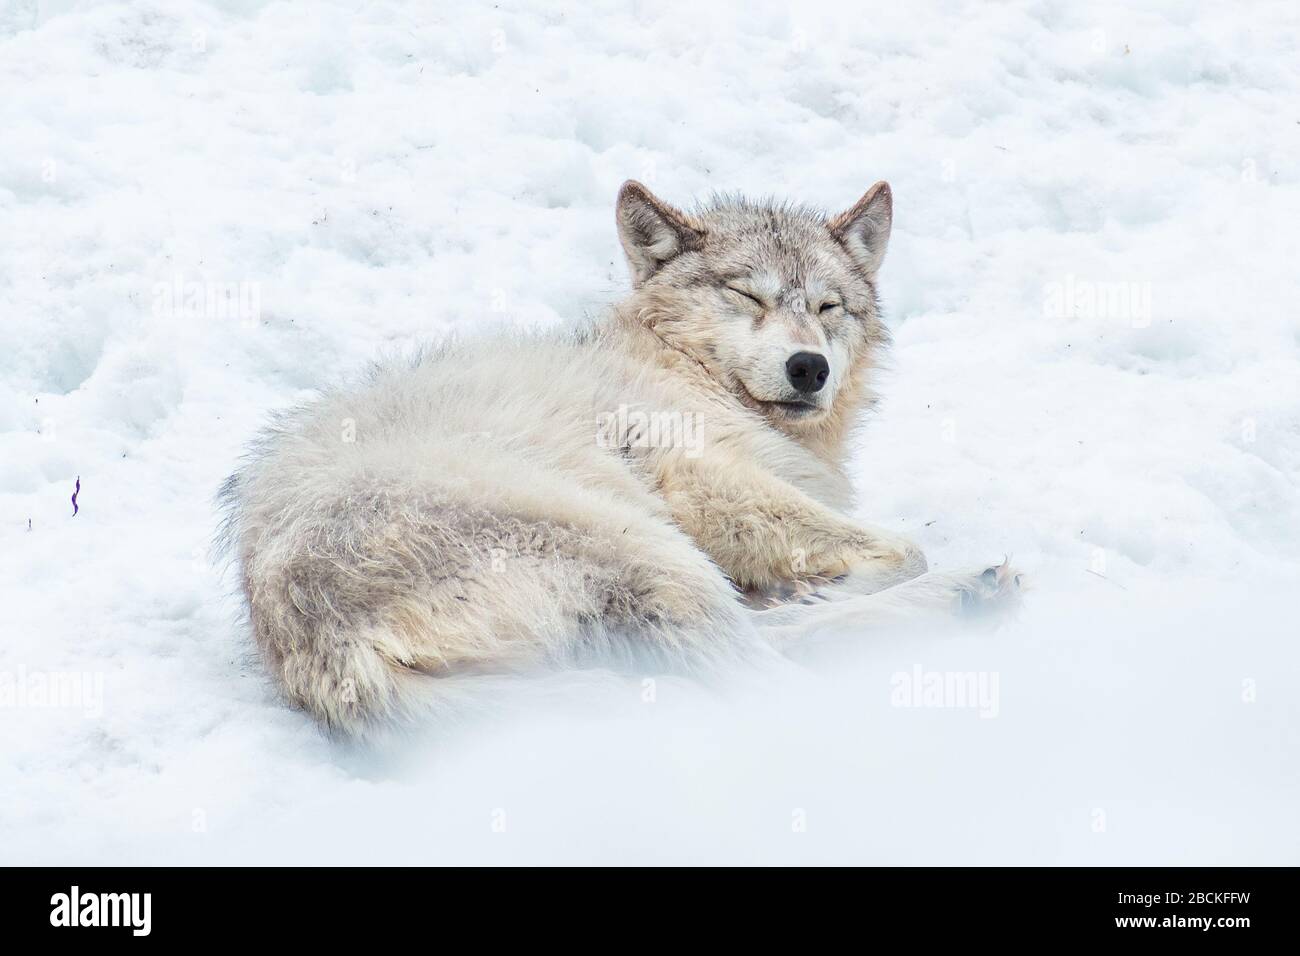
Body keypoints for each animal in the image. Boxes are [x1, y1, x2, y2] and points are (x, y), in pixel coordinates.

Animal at [219, 180, 1020, 738]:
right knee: (760, 675)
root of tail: (327, 651)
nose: (809, 368)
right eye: (747, 295)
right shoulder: (698, 476)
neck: (685, 369)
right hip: (649, 547)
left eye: (829, 307)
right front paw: (834, 585)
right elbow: (903, 547)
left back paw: (967, 593)